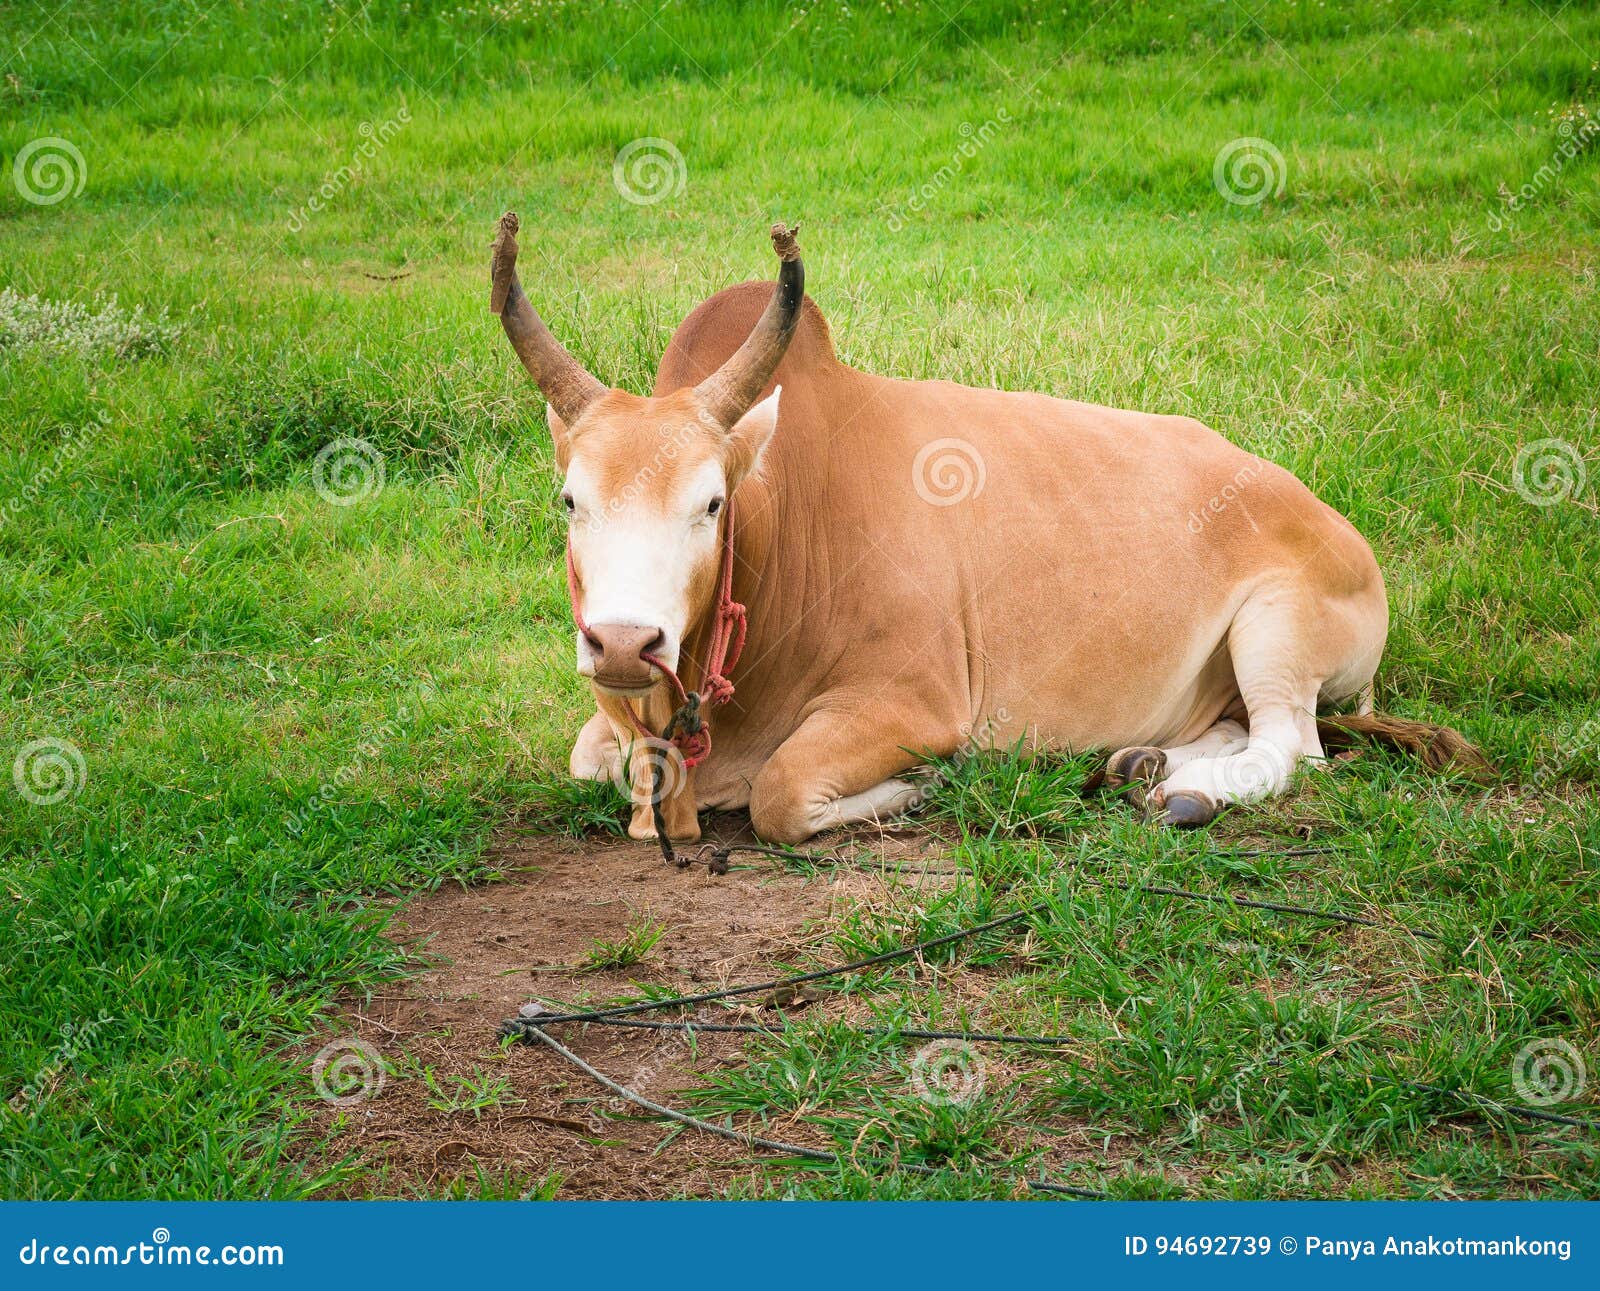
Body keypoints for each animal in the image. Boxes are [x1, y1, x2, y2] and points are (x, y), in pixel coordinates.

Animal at [490, 214, 1487, 846]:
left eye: (710, 503)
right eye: (569, 499)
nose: (625, 643)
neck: (787, 517)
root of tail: (1331, 519)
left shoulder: (912, 704)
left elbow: (781, 794)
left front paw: (919, 786)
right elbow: (592, 760)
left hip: (1280, 627)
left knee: (1293, 747)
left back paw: (1184, 792)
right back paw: (1142, 763)